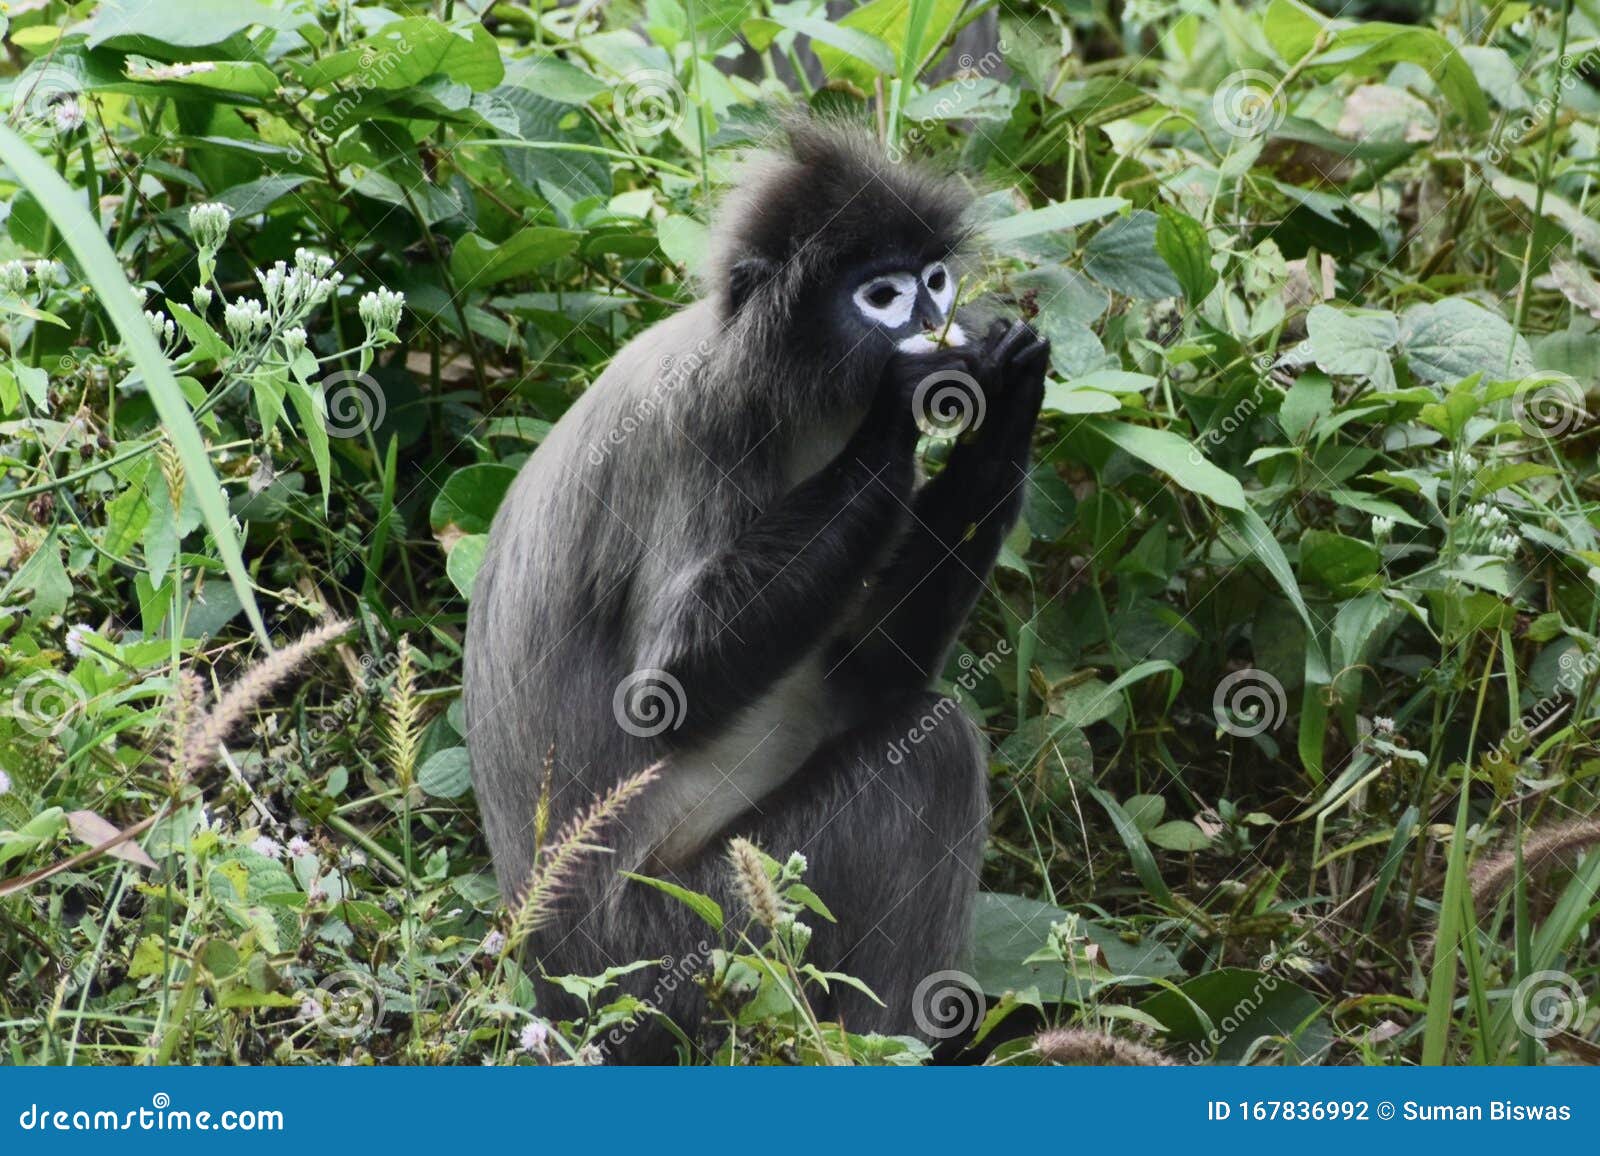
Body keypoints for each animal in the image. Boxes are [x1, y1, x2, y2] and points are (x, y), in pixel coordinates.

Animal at [463, 113, 1049, 1061]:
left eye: (935, 280)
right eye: (884, 296)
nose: (937, 322)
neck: (797, 397)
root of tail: (545, 973)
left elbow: (869, 670)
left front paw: (1014, 392)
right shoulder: (697, 428)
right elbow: (660, 692)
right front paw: (903, 403)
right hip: (687, 950)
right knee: (932, 753)